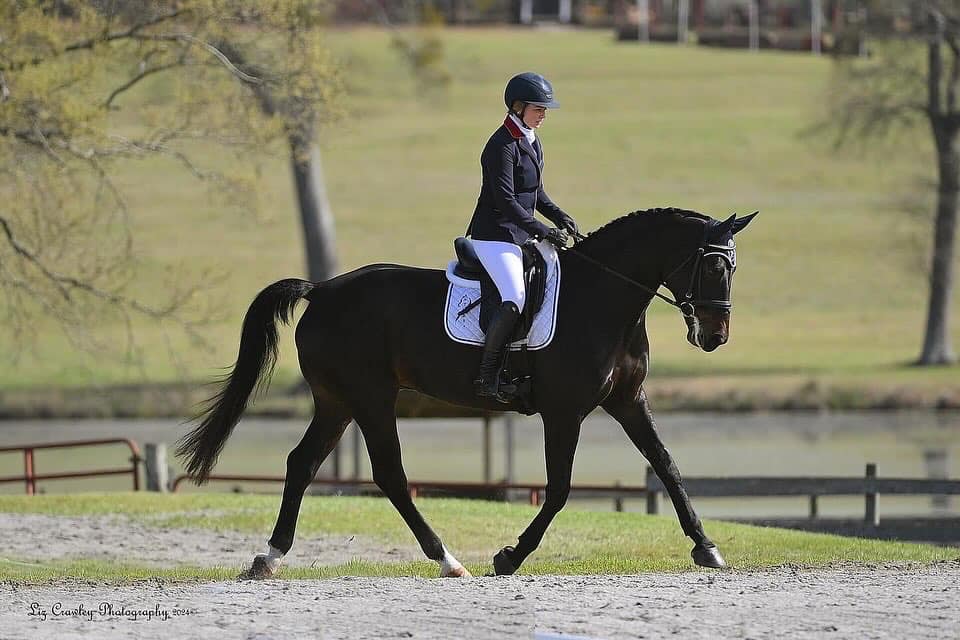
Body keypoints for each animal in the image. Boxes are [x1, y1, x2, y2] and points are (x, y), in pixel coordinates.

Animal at [176, 207, 757, 578]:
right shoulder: (564, 412)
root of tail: (323, 290)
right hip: (371, 399)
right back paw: (448, 560)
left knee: (302, 463)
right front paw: (509, 557)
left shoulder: (628, 402)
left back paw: (270, 557)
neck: (602, 297)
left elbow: (667, 466)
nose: (715, 336)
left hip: (338, 402)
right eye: (712, 264)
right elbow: (560, 489)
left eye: (733, 266)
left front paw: (707, 547)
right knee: (389, 475)